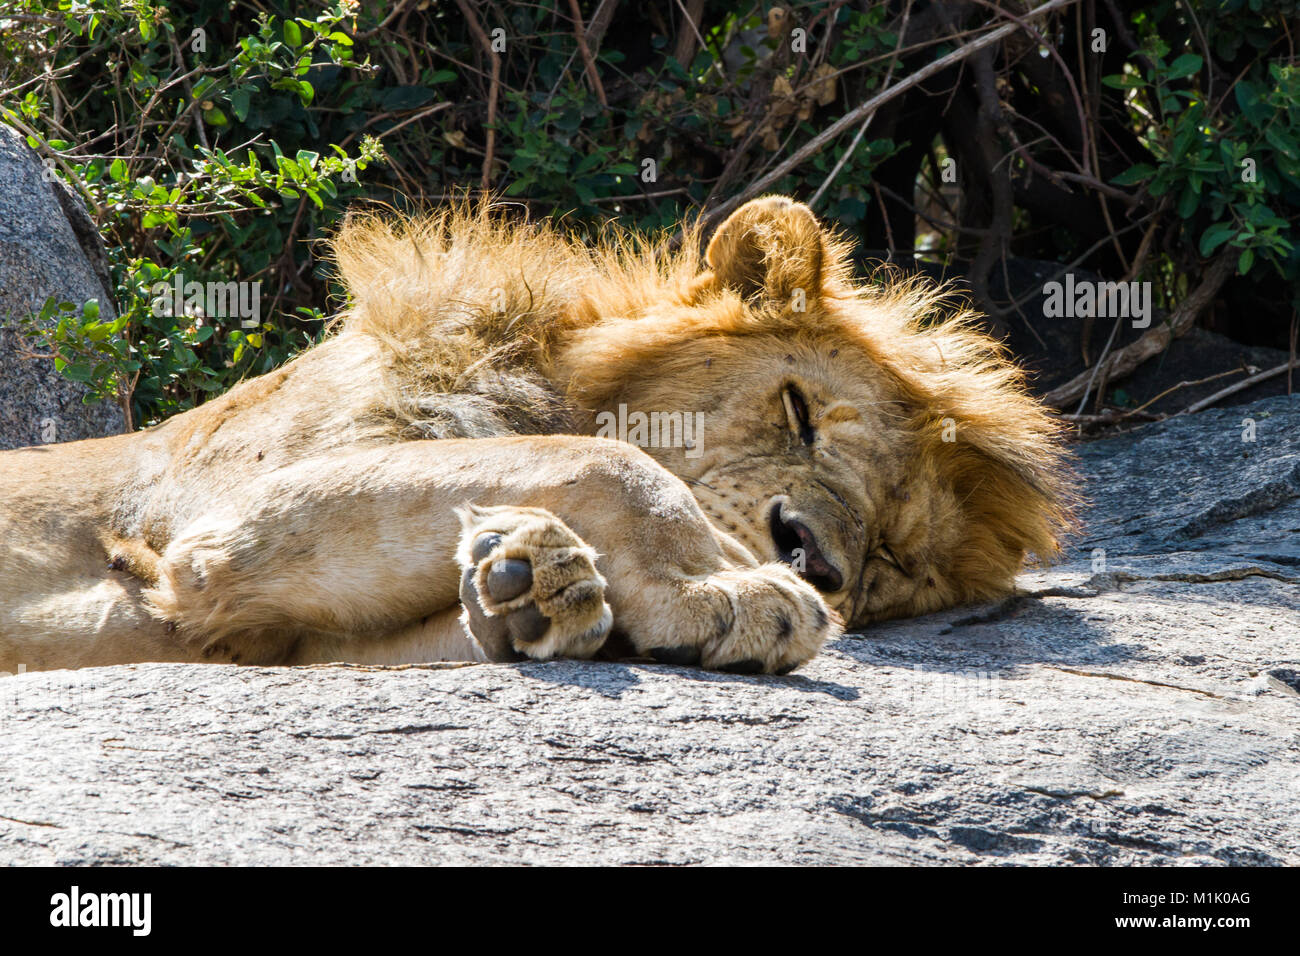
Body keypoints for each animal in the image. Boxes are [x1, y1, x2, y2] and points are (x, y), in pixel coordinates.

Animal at [0, 196, 1074, 675]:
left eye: (891, 561)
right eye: (798, 411)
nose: (812, 557)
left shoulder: (253, 623)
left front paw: (524, 586)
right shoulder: (216, 530)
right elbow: (606, 455)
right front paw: (720, 586)